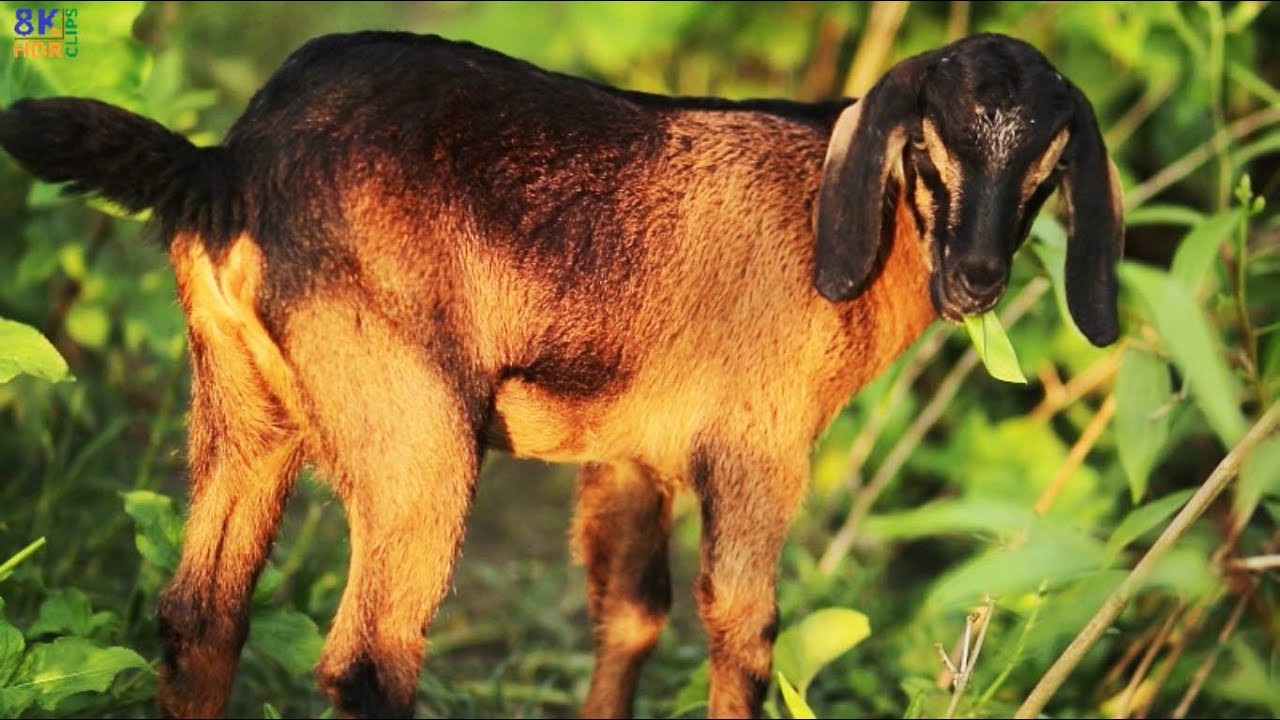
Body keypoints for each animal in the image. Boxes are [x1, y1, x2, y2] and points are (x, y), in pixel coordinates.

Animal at [0, 30, 1122, 719]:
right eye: (927, 150)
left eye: (1047, 169)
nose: (977, 278)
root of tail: (225, 168)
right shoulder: (758, 445)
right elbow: (745, 631)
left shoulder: (633, 449)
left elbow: (630, 612)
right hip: (413, 427)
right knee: (368, 659)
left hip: (243, 405)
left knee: (202, 616)